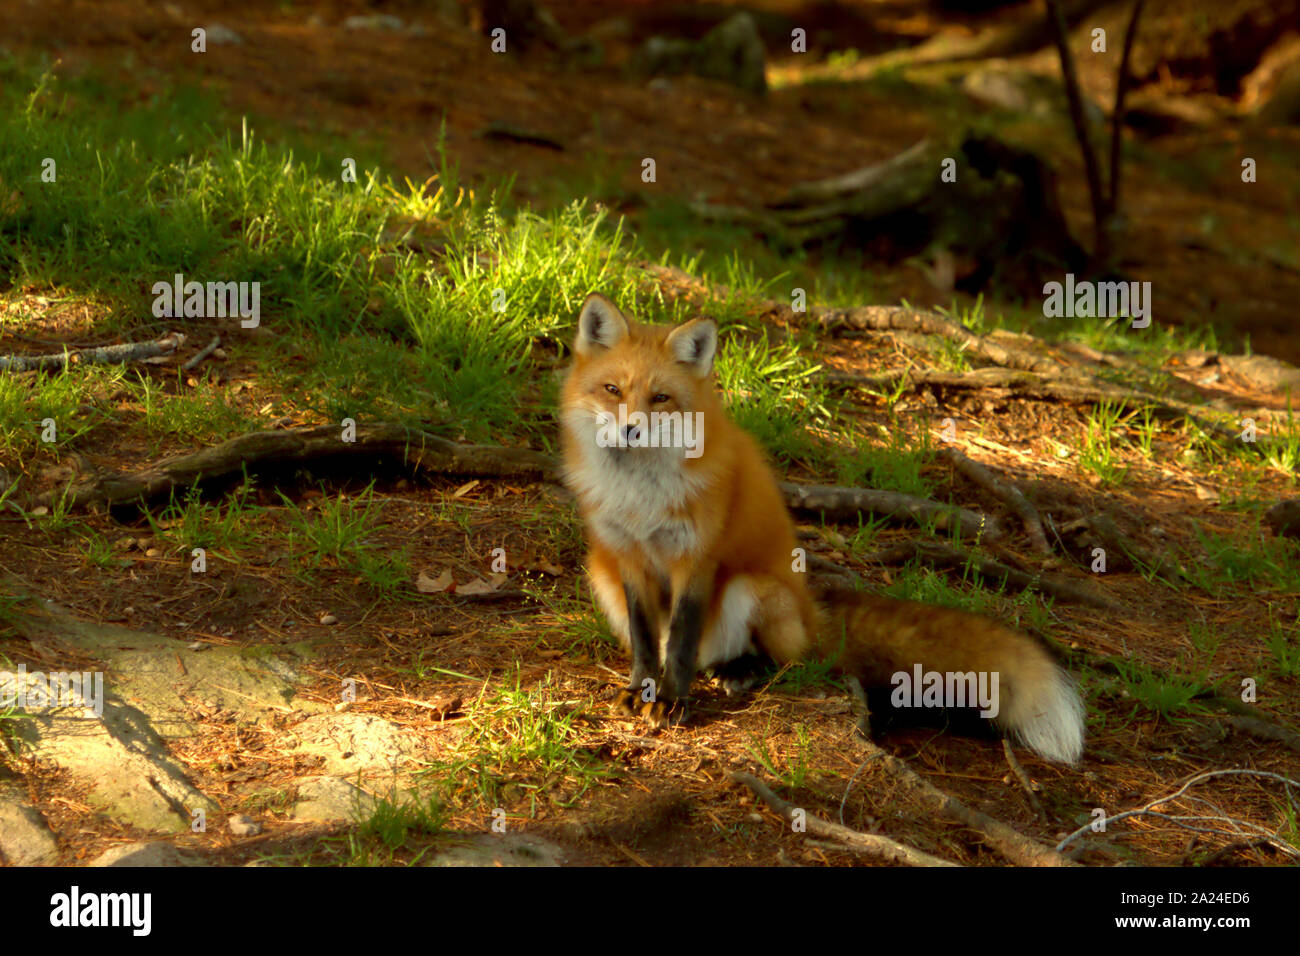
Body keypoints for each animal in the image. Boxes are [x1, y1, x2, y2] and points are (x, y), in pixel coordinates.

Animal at [560, 292, 1085, 764]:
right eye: (612, 390)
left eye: (661, 398)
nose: (630, 430)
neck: (641, 496)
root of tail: (814, 611)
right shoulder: (627, 557)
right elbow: (647, 640)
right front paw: (642, 690)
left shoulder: (697, 559)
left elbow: (682, 642)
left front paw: (672, 700)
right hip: (599, 574)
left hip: (753, 588)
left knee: (783, 658)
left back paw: (741, 670)